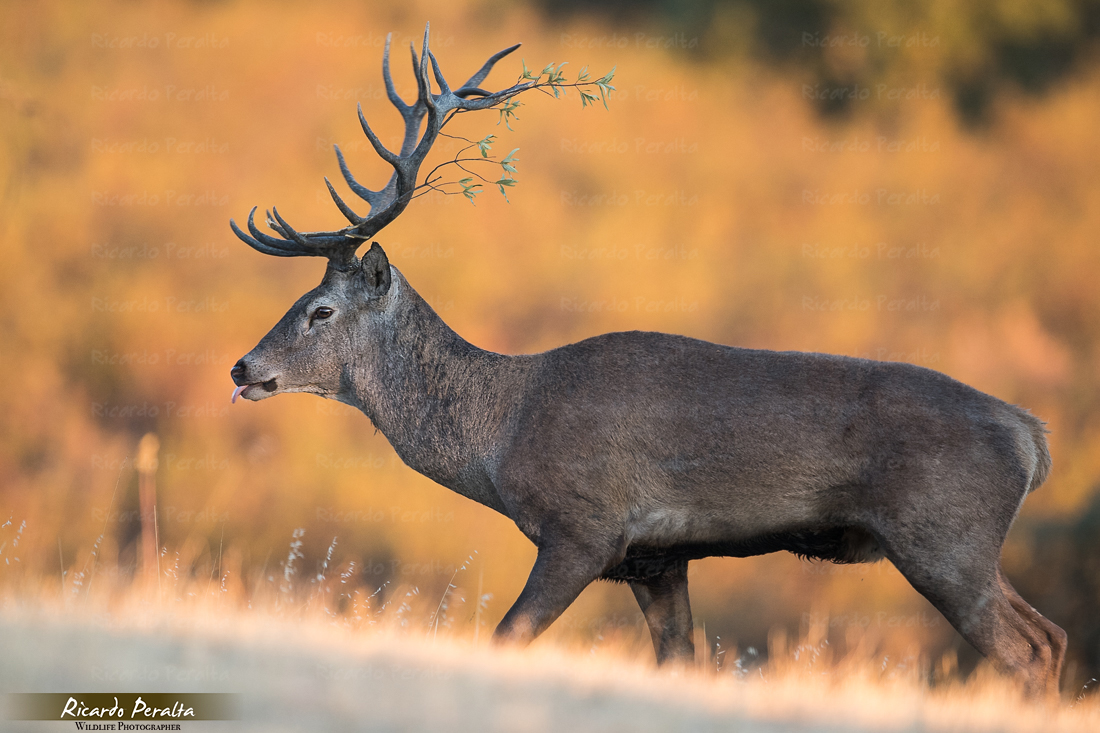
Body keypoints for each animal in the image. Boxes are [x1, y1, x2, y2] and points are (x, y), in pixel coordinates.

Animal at [229, 26, 1066, 698]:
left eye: (320, 309)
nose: (242, 367)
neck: (500, 433)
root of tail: (1033, 435)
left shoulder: (584, 526)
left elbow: (506, 636)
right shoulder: (657, 557)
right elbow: (679, 661)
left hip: (944, 535)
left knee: (1027, 646)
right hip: (961, 546)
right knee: (1052, 635)